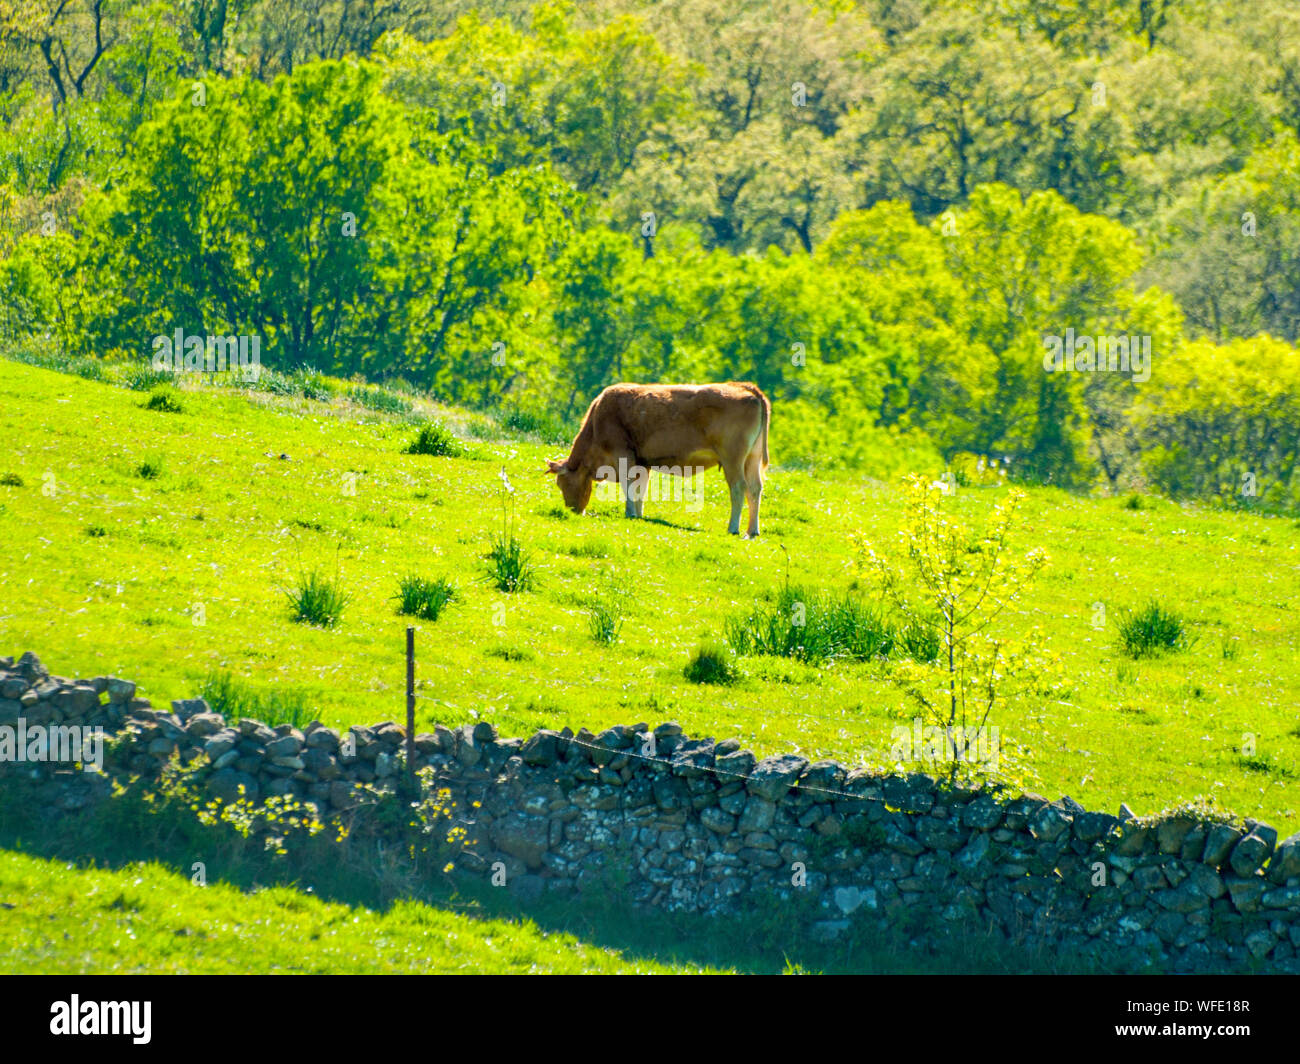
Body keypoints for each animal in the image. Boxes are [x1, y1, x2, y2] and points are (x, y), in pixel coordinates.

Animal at [544, 382, 770, 537]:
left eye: (561, 484)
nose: (572, 511)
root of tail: (744, 387)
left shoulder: (623, 454)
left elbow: (628, 485)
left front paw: (630, 513)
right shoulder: (643, 463)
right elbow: (640, 489)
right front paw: (638, 514)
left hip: (733, 457)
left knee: (739, 487)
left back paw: (733, 528)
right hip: (752, 458)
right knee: (755, 488)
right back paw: (752, 531)